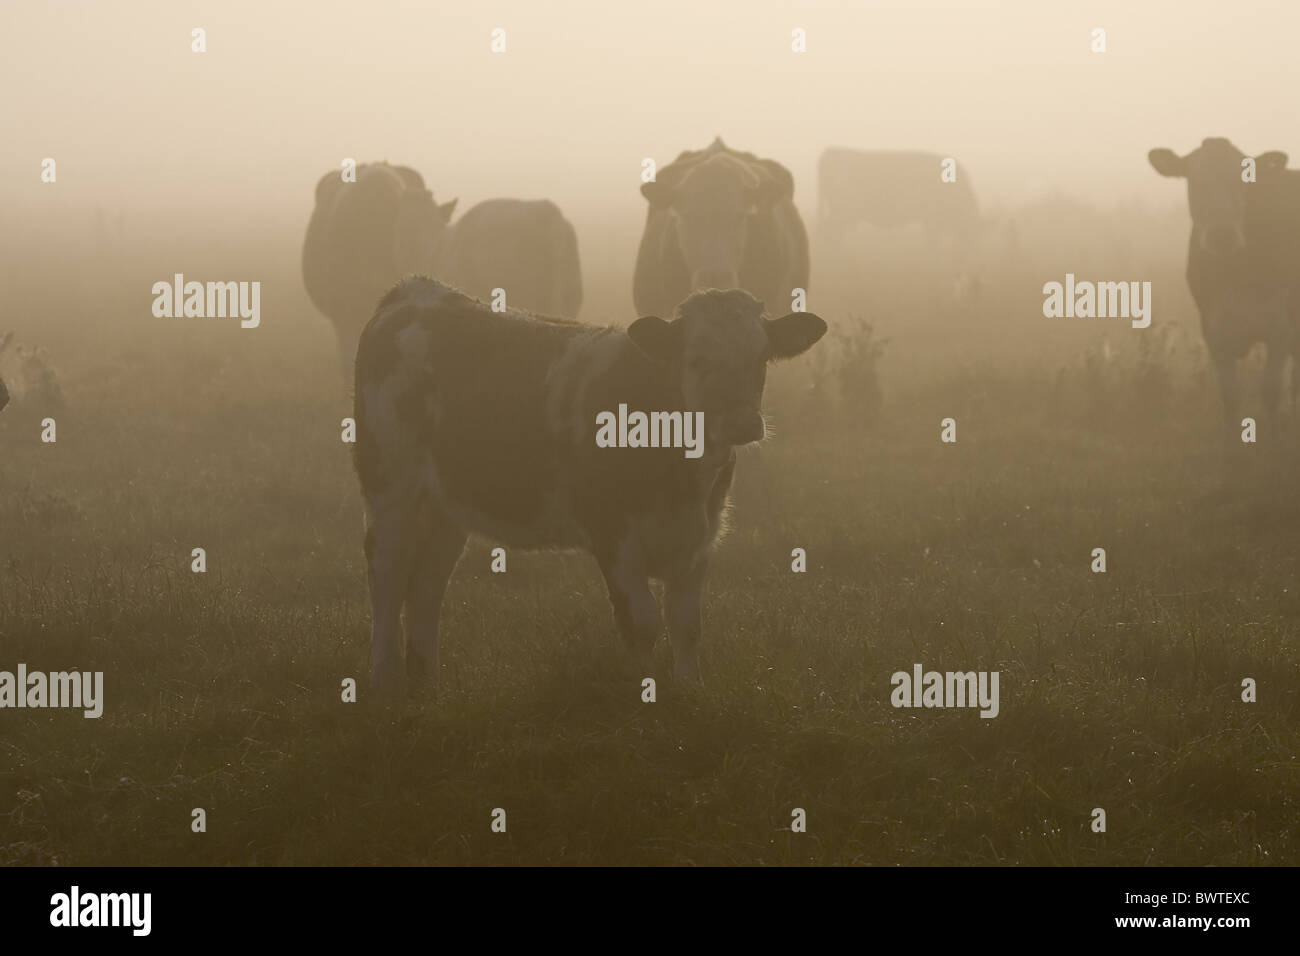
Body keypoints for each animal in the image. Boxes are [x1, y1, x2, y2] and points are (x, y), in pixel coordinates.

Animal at [353, 277, 826, 697]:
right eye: (696, 359)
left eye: (761, 357)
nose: (742, 423)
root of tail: (416, 291)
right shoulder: (611, 533)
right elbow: (642, 621)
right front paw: (643, 689)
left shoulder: (700, 536)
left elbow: (687, 624)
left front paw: (691, 689)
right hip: (391, 488)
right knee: (388, 575)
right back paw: (385, 678)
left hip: (445, 505)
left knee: (428, 583)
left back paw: (426, 681)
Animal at [1149, 138, 1300, 429]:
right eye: (1195, 179)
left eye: (1244, 180)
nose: (1222, 234)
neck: (1235, 274)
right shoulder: (1214, 329)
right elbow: (1230, 395)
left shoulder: (1280, 330)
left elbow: (1271, 392)